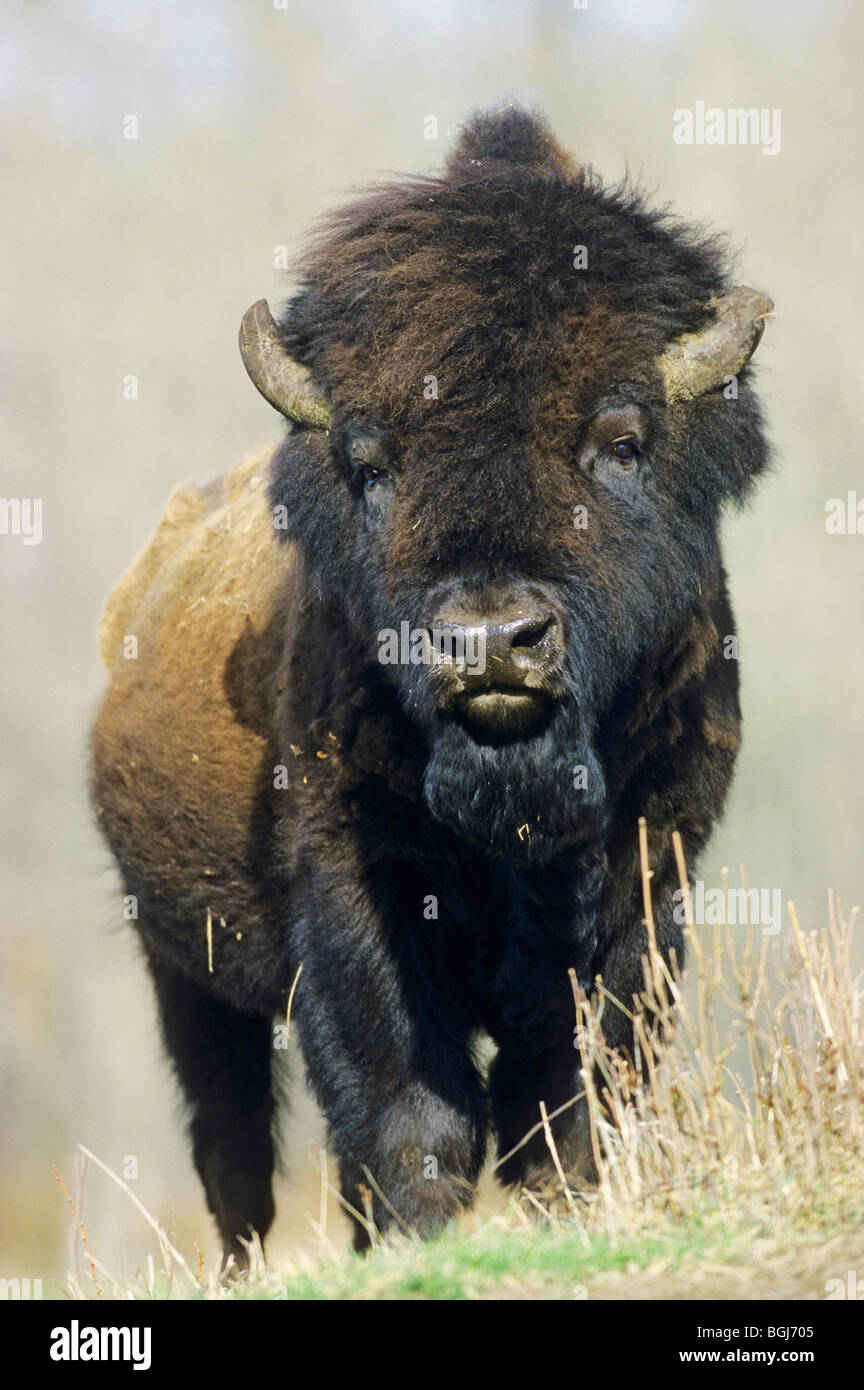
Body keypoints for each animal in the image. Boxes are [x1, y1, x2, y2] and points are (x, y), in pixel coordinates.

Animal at [90, 106, 773, 1265]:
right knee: (232, 1147)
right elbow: (410, 1108)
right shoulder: (356, 893)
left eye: (621, 440)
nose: (491, 642)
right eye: (372, 463)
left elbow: (573, 1101)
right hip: (180, 968)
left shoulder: (649, 882)